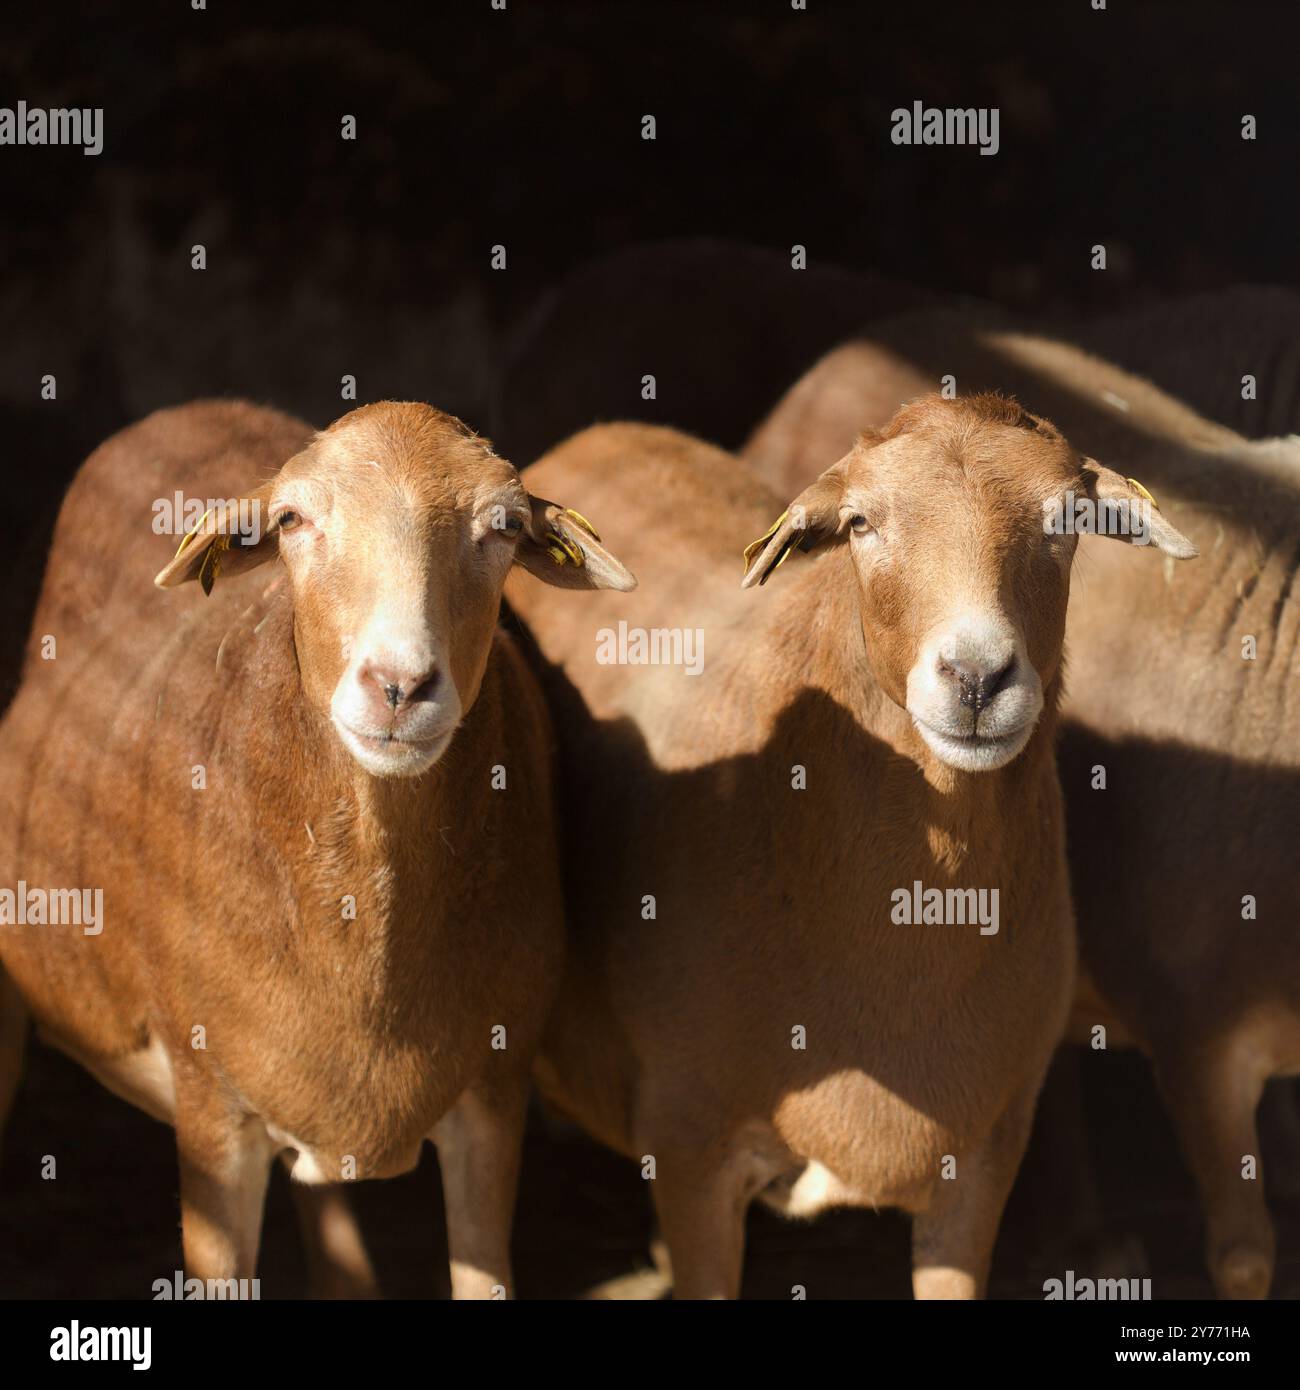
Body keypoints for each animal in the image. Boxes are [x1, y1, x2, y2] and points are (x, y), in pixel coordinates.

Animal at [0, 398, 633, 1298]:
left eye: (506, 526)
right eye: (293, 520)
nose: (398, 686)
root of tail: (191, 409)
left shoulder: (495, 1097)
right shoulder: (212, 1111)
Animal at [503, 395, 1193, 1298]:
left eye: (1069, 520)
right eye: (862, 522)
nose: (977, 678)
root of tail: (598, 435)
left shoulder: (979, 1160)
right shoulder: (693, 1150)